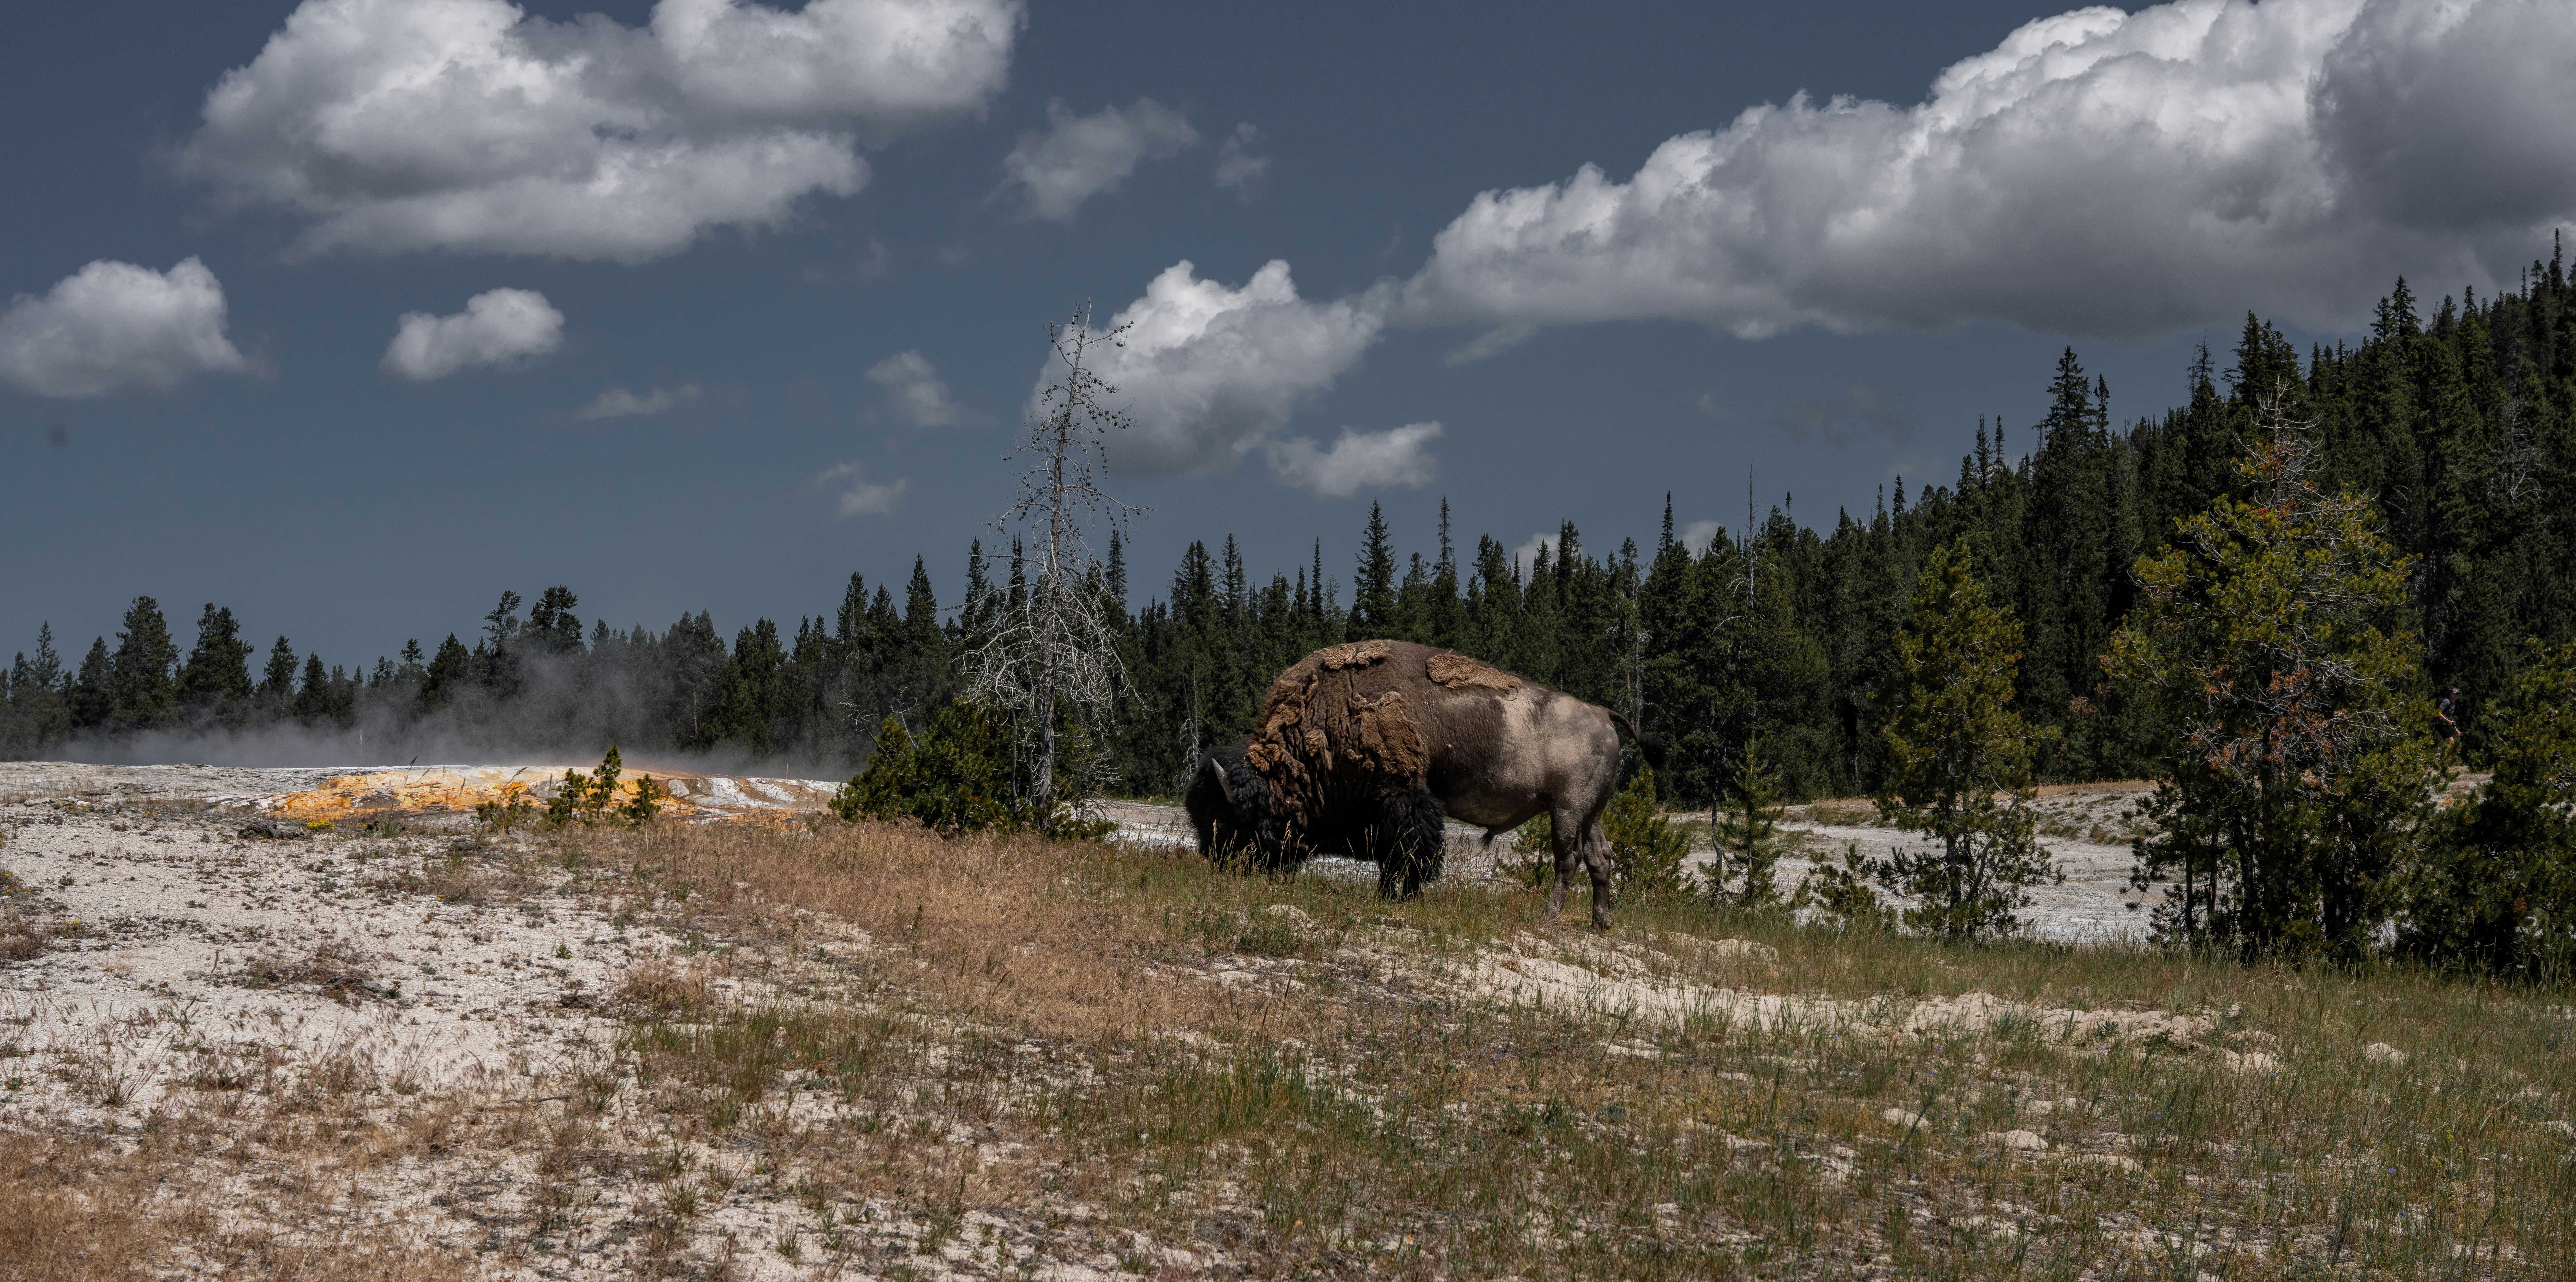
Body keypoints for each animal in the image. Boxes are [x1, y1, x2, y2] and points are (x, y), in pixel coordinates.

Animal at [1185, 639, 1626, 929]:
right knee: (1599, 858)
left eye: (1228, 819)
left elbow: (1412, 851)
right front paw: (1387, 895)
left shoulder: (1403, 797)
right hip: (1592, 813)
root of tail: (1603, 713)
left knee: (1568, 860)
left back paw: (1549, 918)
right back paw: (1600, 924)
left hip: (1566, 810)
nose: (1215, 860)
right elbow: (1391, 856)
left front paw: (1406, 897)